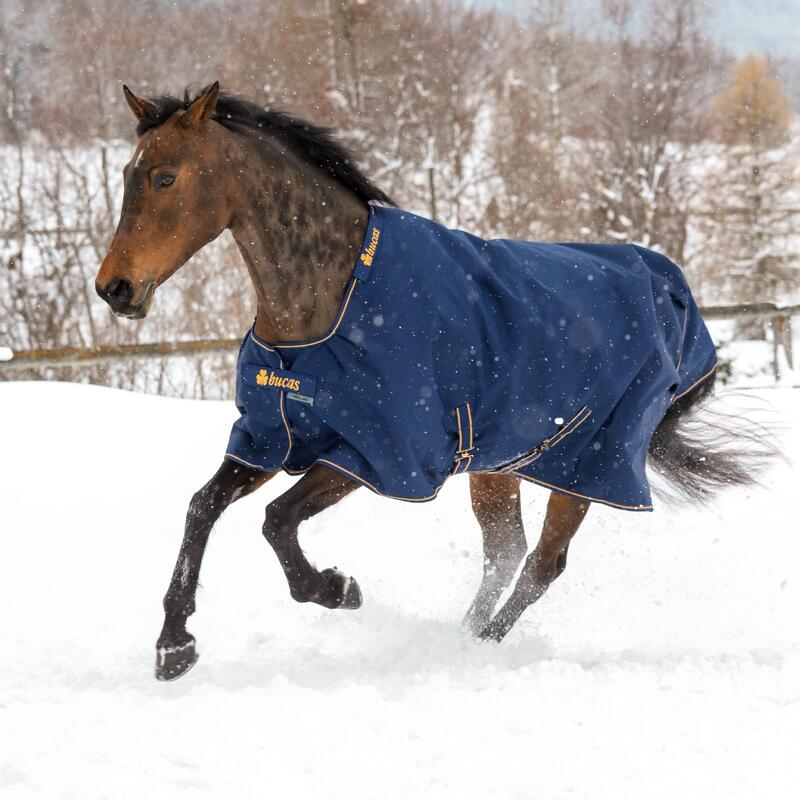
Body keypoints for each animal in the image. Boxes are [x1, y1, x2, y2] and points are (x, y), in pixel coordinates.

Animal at [95, 83, 769, 681]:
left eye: (165, 178)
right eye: (129, 173)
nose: (115, 288)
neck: (329, 303)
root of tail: (676, 298)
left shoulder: (377, 453)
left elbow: (277, 521)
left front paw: (337, 588)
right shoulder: (271, 435)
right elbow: (202, 508)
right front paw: (173, 646)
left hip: (586, 465)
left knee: (542, 564)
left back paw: (475, 649)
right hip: (497, 465)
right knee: (505, 554)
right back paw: (461, 638)